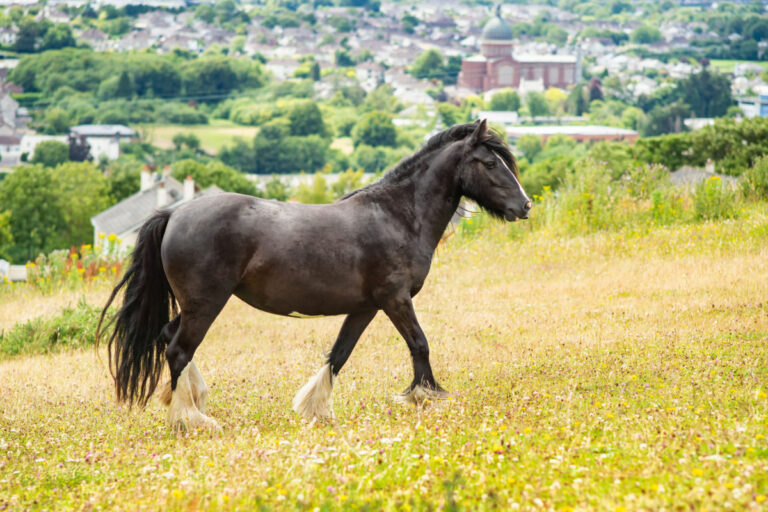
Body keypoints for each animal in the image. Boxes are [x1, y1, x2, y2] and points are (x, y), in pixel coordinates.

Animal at [96, 120, 532, 433]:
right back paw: (192, 420)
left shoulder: (367, 308)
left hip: (194, 306)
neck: (397, 214)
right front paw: (426, 396)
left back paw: (191, 402)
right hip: (205, 304)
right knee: (178, 350)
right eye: (491, 163)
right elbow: (419, 344)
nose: (524, 206)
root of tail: (174, 214)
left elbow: (339, 355)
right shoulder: (396, 299)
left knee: (169, 338)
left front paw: (316, 409)